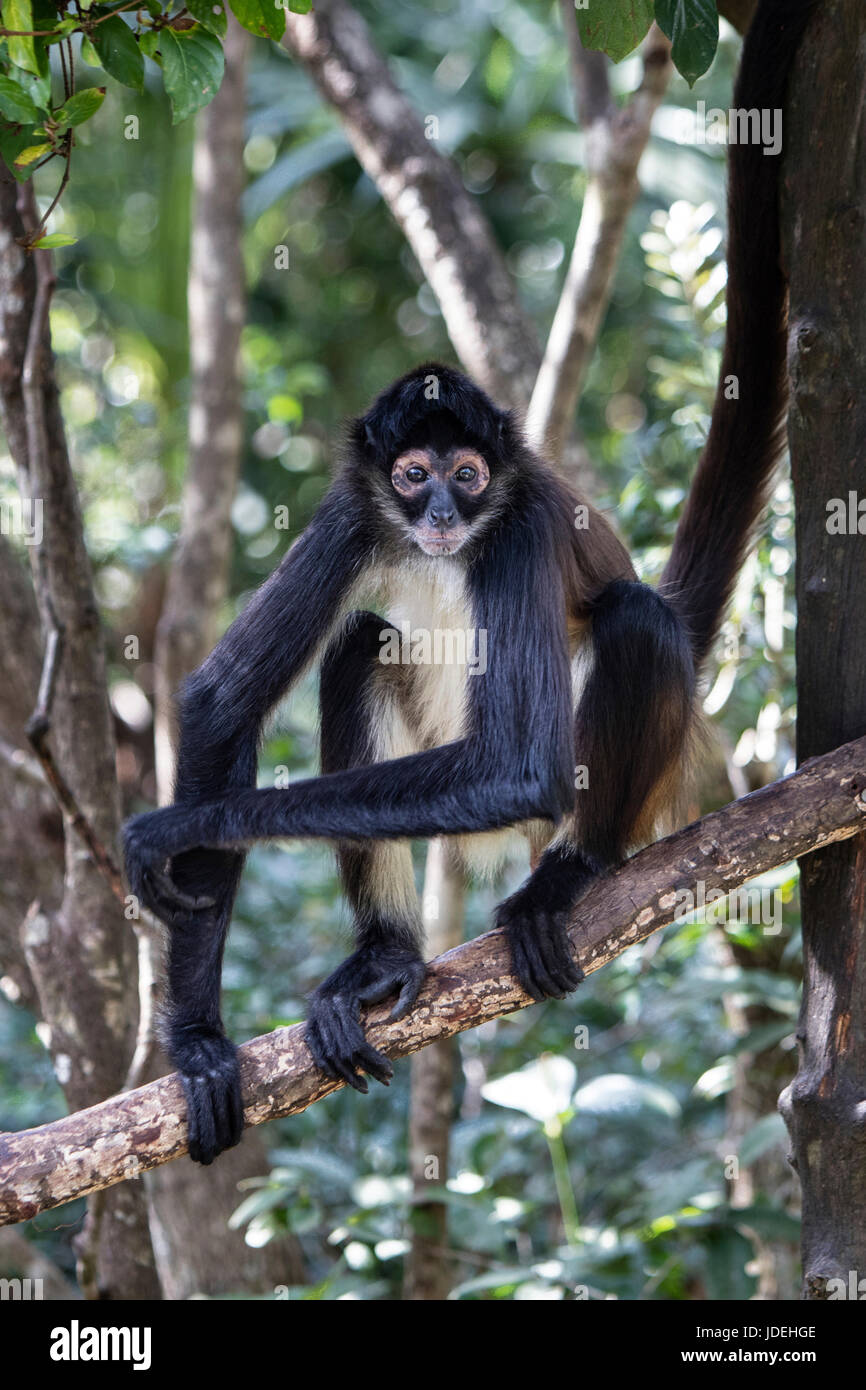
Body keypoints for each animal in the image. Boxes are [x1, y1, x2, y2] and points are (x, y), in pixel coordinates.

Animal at [123, 0, 817, 1164]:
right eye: (414, 475)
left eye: (469, 476)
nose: (444, 516)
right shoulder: (355, 512)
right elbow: (219, 701)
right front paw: (199, 1041)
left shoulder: (524, 523)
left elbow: (519, 761)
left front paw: (178, 829)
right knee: (361, 642)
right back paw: (391, 955)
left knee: (628, 625)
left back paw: (575, 870)